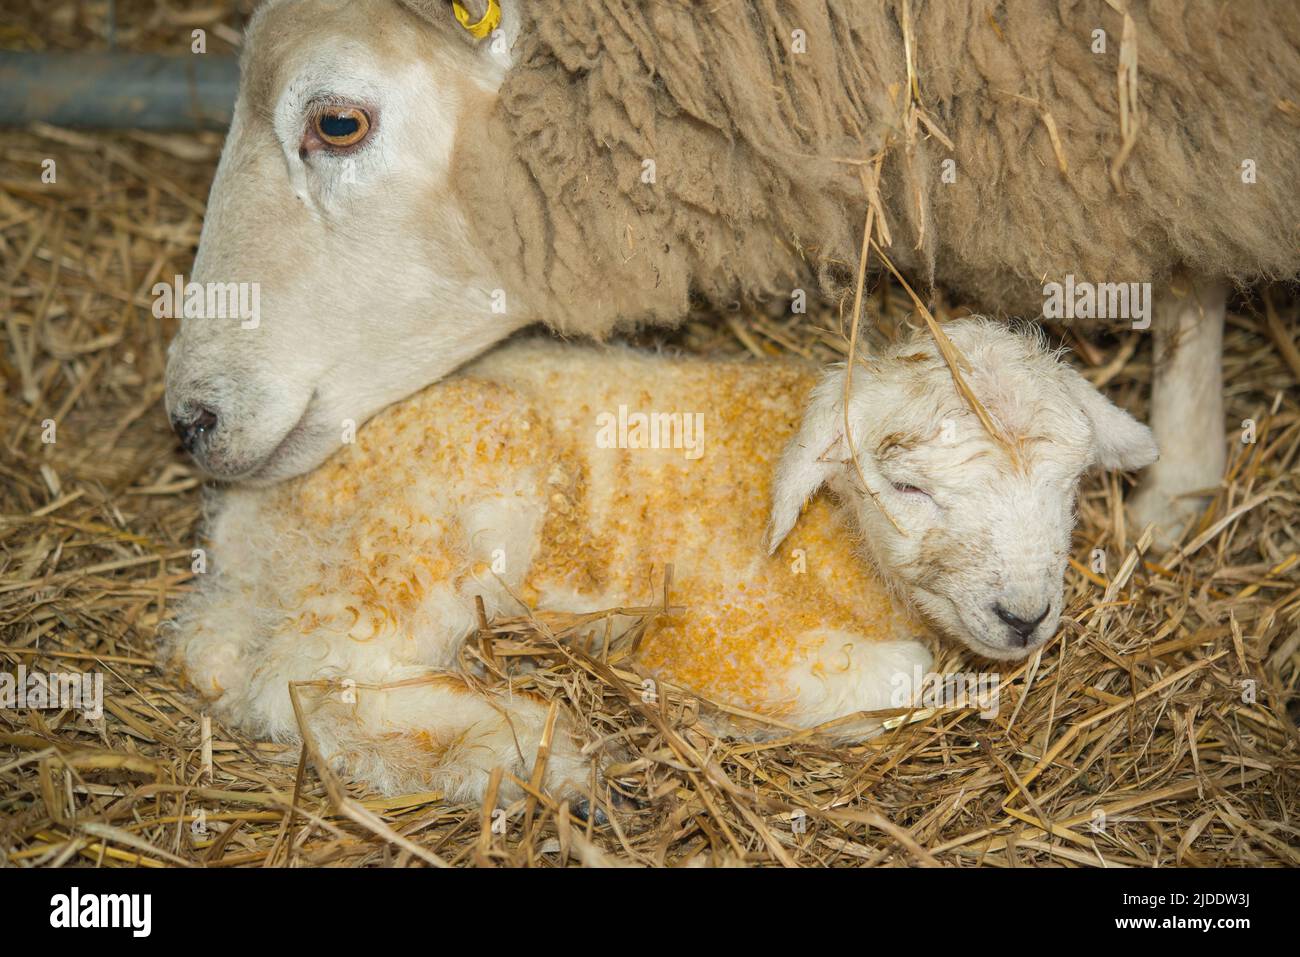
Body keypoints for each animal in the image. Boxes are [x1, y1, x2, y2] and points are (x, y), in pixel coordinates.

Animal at [169, 319, 1157, 799]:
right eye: (907, 487)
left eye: (1070, 485)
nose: (1024, 615)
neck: (833, 540)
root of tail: (245, 527)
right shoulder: (713, 635)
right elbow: (903, 674)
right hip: (438, 514)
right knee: (303, 679)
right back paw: (523, 752)